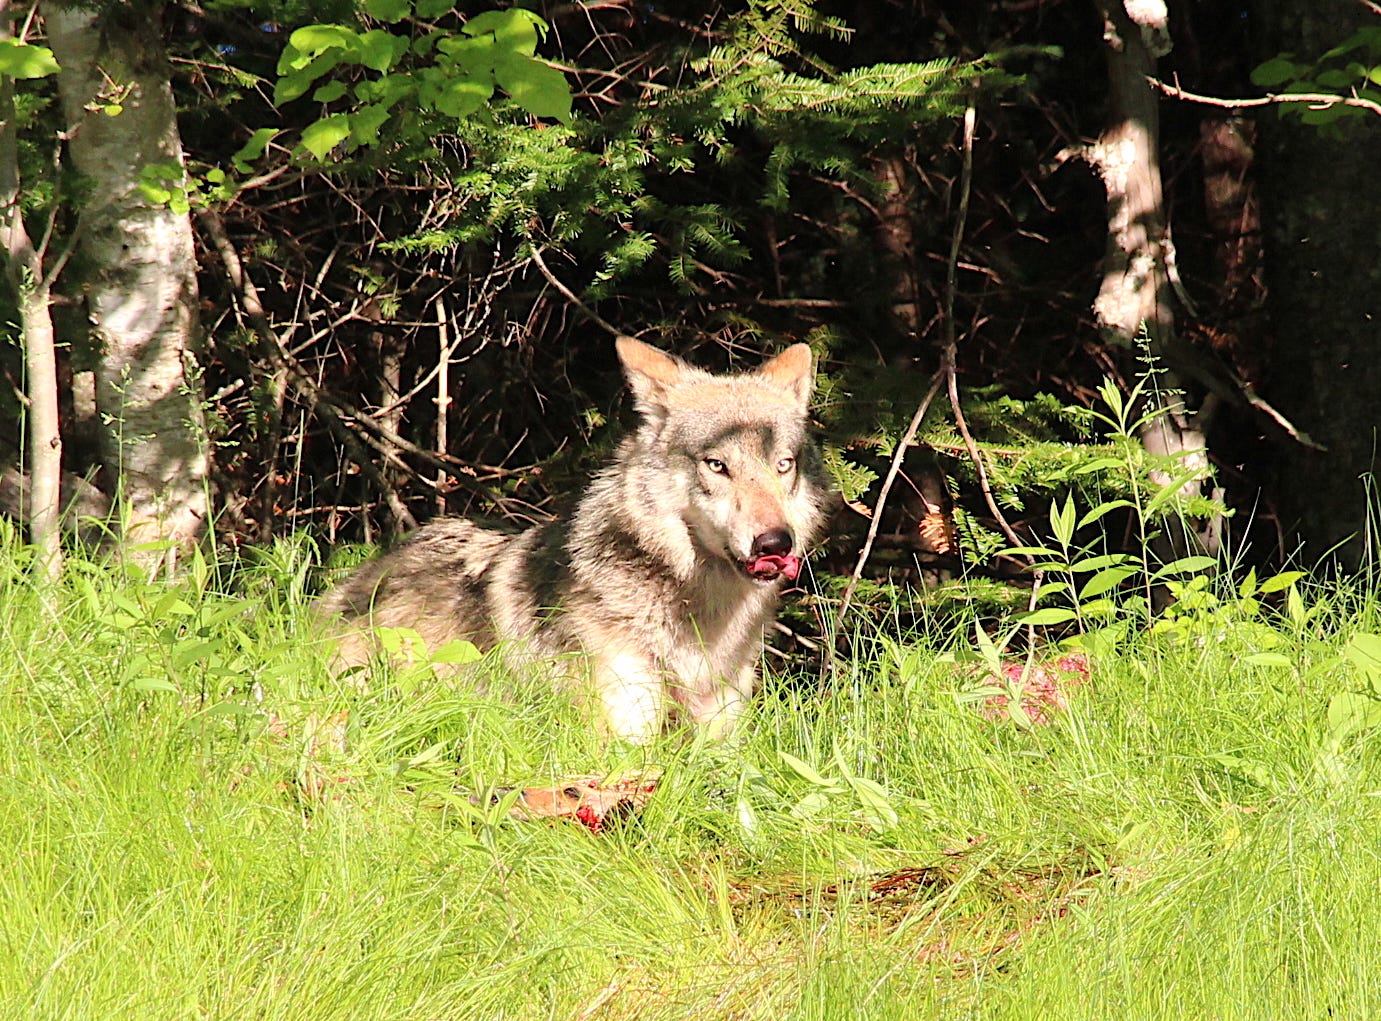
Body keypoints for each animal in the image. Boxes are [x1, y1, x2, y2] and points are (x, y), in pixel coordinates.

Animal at [317, 338, 831, 743]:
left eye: (783, 465)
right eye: (717, 465)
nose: (774, 543)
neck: (698, 613)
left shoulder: (721, 734)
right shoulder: (618, 740)